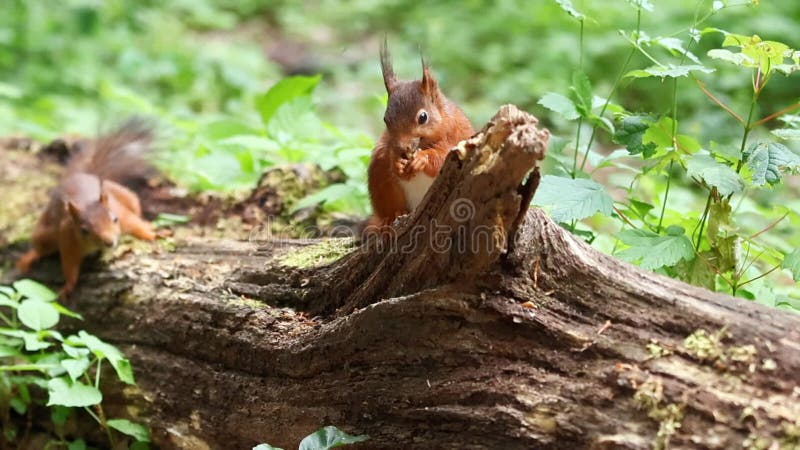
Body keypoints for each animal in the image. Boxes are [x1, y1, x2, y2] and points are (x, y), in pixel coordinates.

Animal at [16, 119, 157, 296]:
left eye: (114, 219)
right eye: (84, 230)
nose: (109, 242)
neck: (86, 202)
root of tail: (78, 176)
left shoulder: (121, 213)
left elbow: (135, 224)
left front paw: (152, 234)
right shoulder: (68, 237)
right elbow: (69, 264)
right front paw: (68, 286)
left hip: (126, 196)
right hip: (45, 233)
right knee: (41, 247)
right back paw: (29, 257)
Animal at [366, 42, 474, 232]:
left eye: (423, 117)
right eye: (385, 119)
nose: (402, 147)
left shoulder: (456, 137)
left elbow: (442, 156)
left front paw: (422, 158)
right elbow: (390, 156)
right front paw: (396, 161)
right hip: (381, 180)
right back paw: (391, 219)